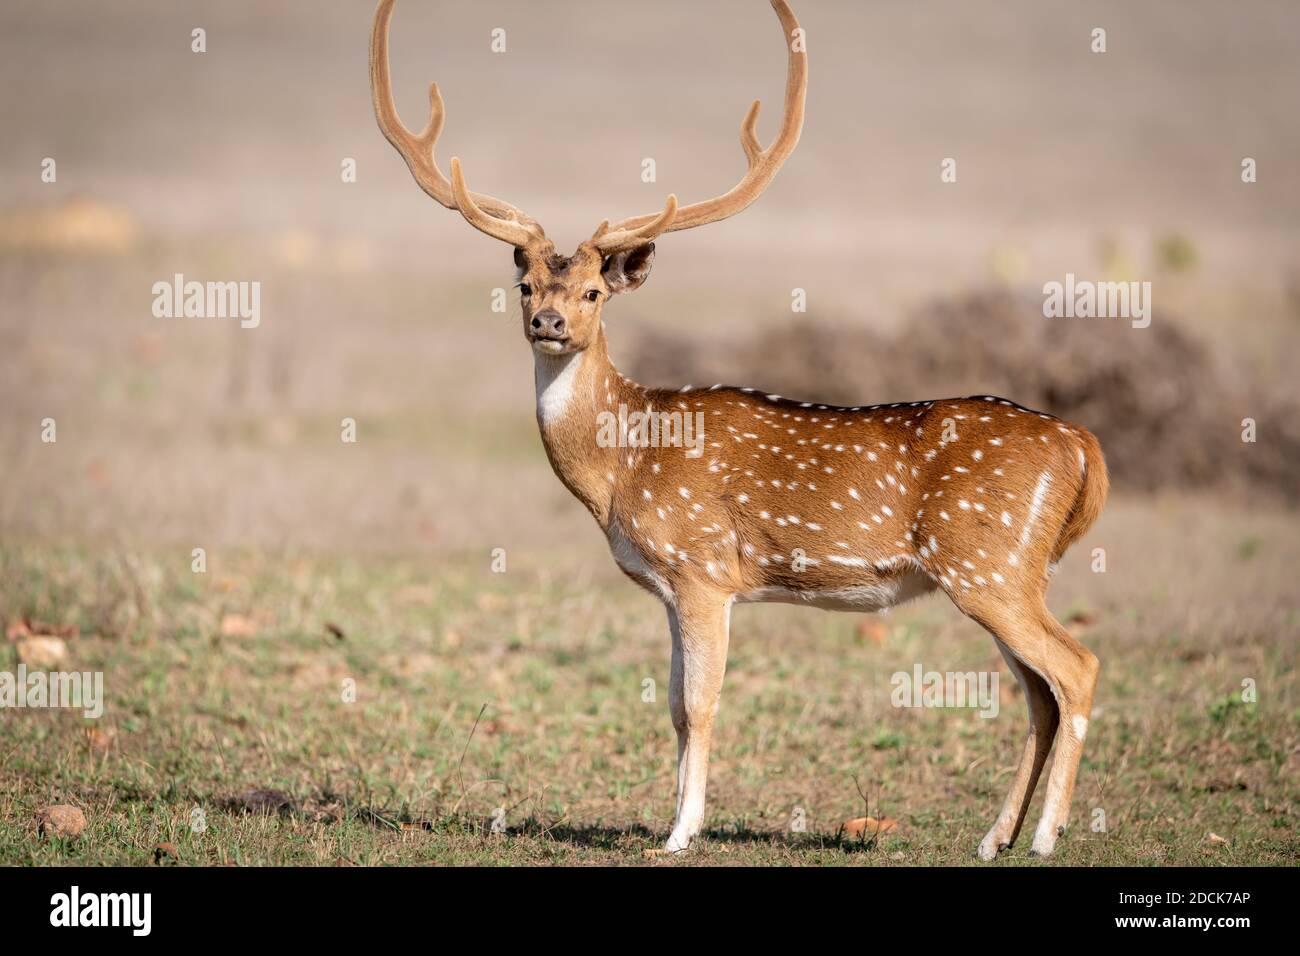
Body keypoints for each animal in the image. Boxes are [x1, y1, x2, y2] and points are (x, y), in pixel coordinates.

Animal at [370, 0, 1108, 859]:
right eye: (525, 286)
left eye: (593, 292)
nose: (549, 324)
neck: (623, 469)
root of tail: (1083, 447)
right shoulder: (666, 586)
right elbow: (671, 705)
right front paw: (672, 817)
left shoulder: (703, 569)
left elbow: (701, 703)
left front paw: (680, 832)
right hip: (1008, 573)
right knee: (1039, 691)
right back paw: (994, 838)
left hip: (988, 564)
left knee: (1076, 667)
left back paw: (1046, 837)